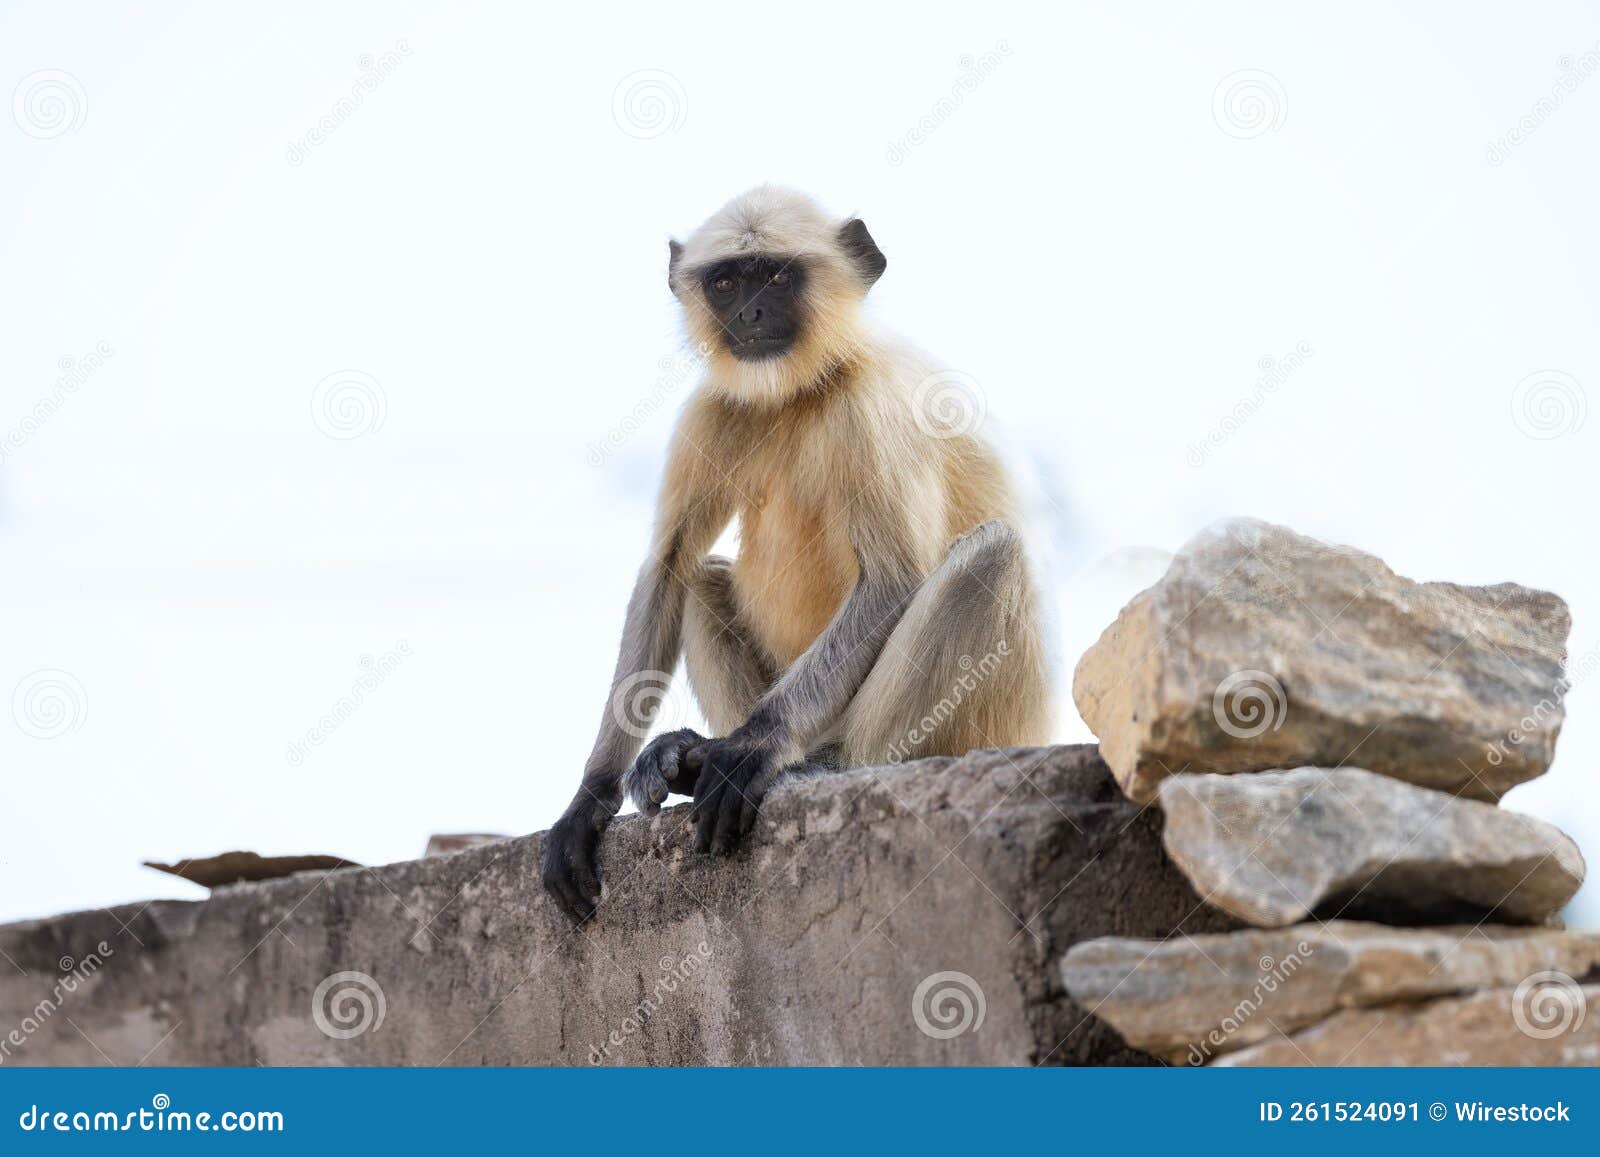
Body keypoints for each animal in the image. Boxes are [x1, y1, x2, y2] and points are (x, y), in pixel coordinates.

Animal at [541, 186, 1056, 922]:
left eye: (779, 277)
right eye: (728, 283)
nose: (751, 313)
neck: (798, 391)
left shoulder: (871, 404)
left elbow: (894, 580)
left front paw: (753, 750)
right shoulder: (713, 407)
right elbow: (666, 568)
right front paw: (590, 797)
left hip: (991, 717)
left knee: (994, 552)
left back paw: (817, 762)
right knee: (700, 578)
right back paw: (690, 758)